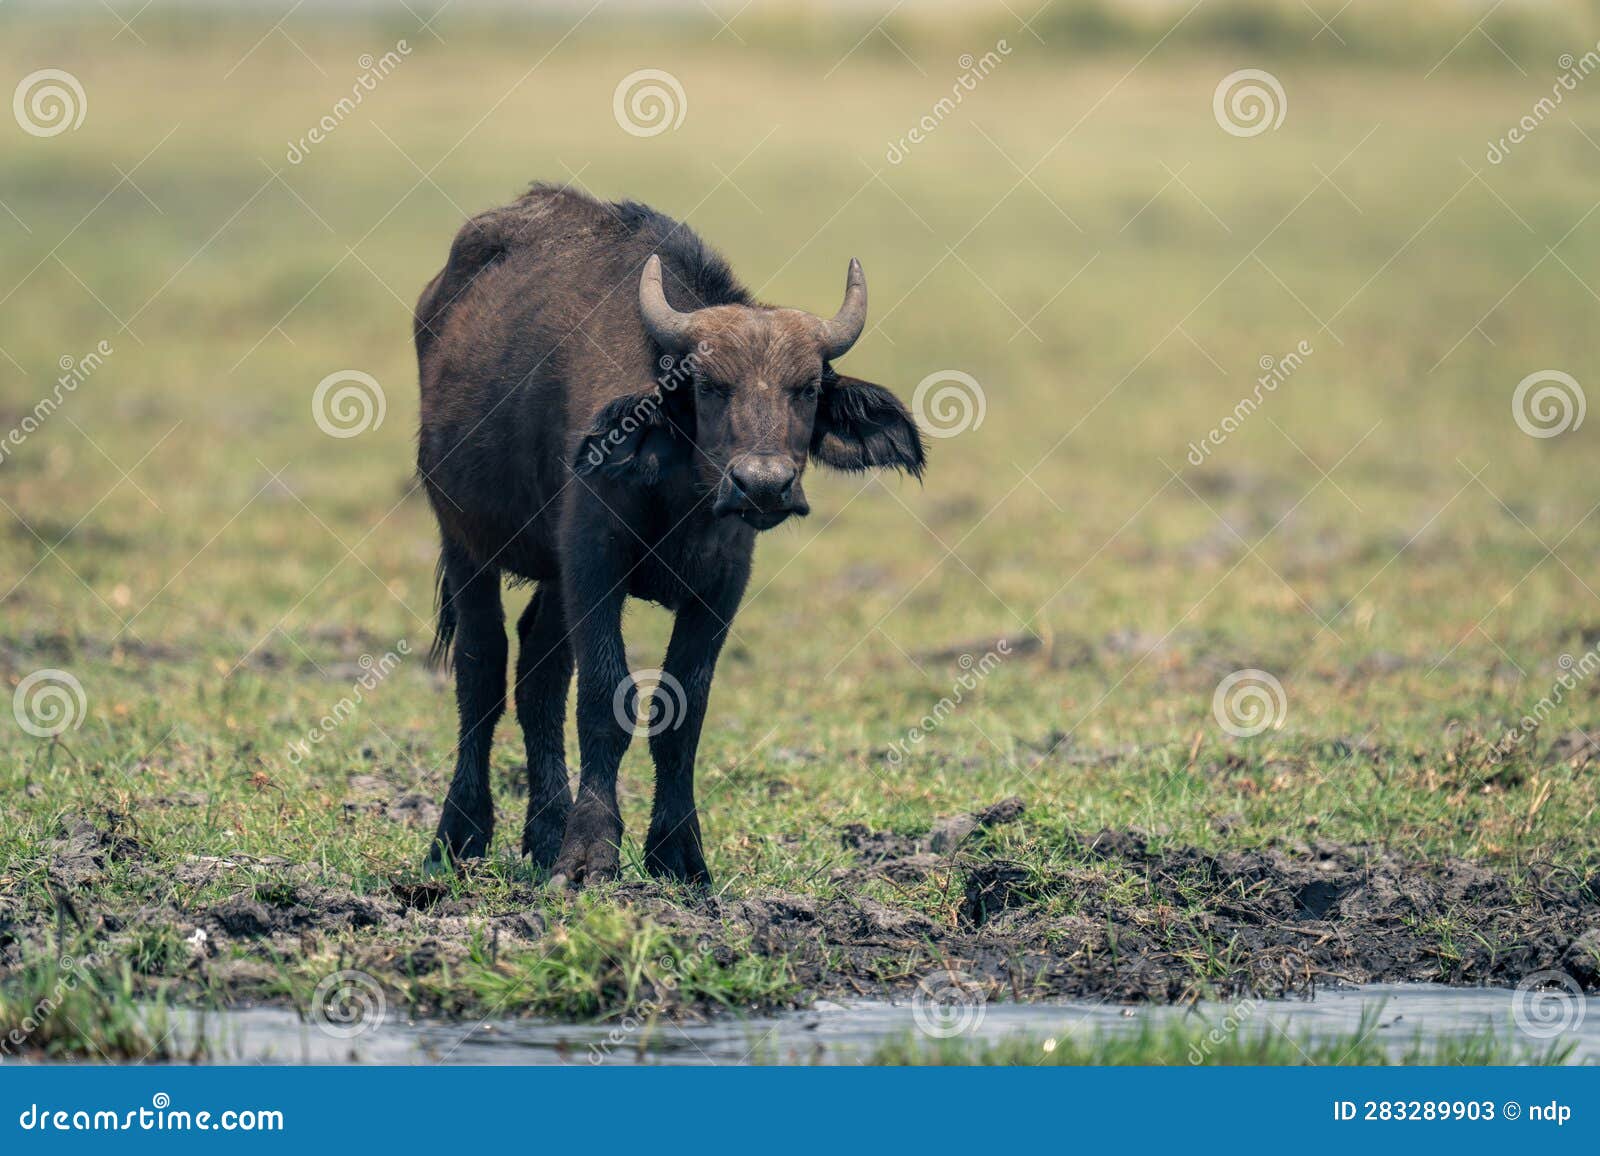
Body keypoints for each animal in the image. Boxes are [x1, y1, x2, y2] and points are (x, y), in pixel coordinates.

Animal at [414, 183, 926, 887]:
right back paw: (459, 835)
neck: (680, 491)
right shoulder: (594, 562)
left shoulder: (722, 583)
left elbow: (683, 711)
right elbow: (604, 697)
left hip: (551, 575)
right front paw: (589, 853)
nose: (763, 485)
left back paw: (544, 832)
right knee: (482, 669)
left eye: (806, 389)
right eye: (709, 386)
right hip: (463, 540)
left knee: (539, 674)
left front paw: (678, 853)